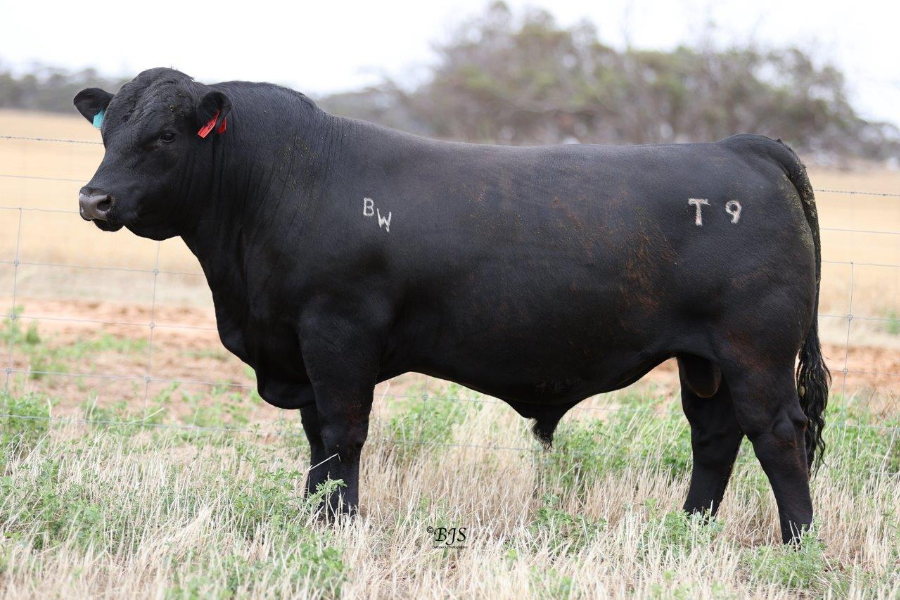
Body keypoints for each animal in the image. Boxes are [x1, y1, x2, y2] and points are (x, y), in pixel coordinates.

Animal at [74, 68, 829, 543]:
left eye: (165, 135)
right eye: (107, 132)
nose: (93, 198)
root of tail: (740, 147)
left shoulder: (337, 333)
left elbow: (343, 436)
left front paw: (340, 528)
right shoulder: (300, 348)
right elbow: (317, 443)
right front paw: (313, 520)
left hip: (756, 351)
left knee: (776, 435)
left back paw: (799, 544)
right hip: (703, 361)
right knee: (714, 436)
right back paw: (689, 529)